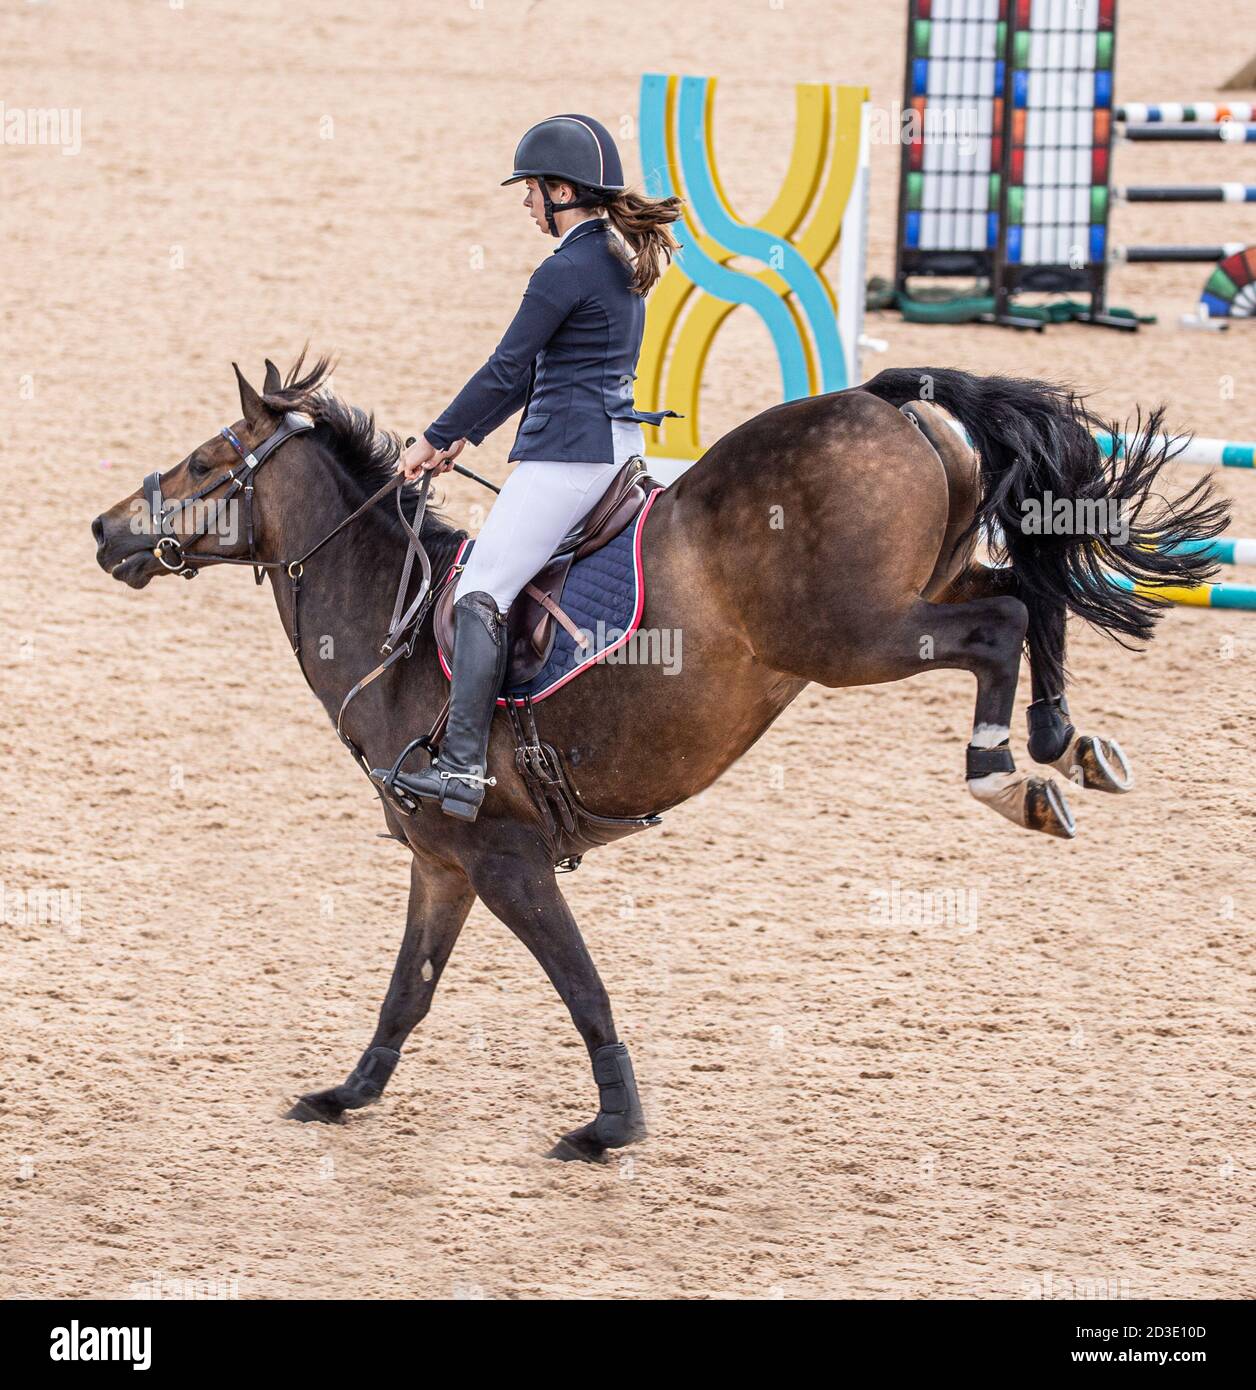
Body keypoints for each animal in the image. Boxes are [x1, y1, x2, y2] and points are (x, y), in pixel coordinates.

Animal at [91, 355, 1225, 1160]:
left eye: (205, 465)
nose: (105, 529)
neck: (394, 626)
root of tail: (888, 401)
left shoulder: (505, 859)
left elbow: (580, 984)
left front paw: (612, 1126)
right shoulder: (442, 863)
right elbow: (406, 990)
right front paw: (348, 1093)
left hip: (852, 636)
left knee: (1000, 624)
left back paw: (1009, 778)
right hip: (918, 589)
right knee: (1027, 592)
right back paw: (1064, 743)